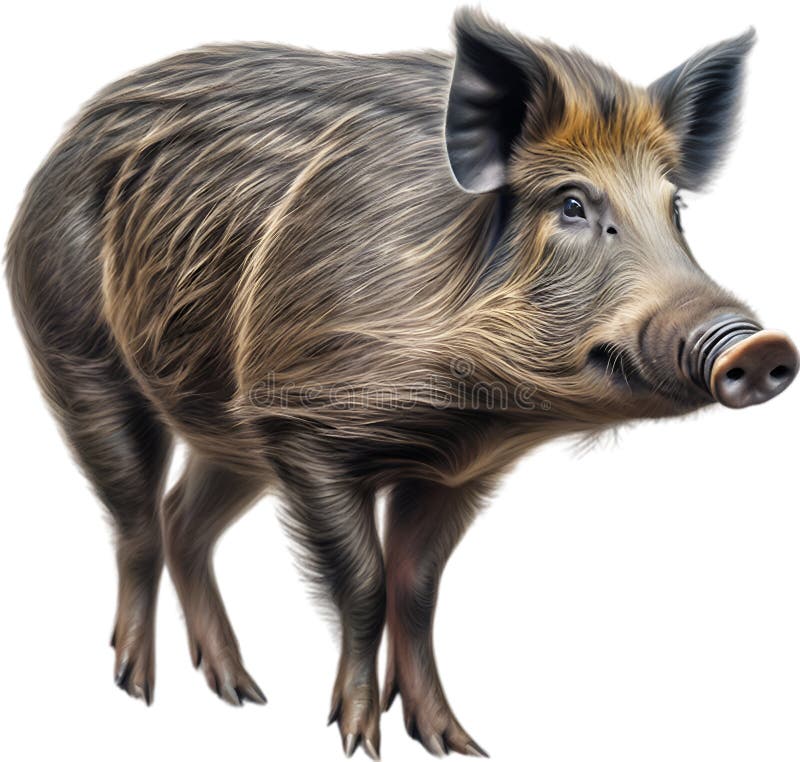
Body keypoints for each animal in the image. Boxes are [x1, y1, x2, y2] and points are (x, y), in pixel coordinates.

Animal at [5, 7, 798, 759]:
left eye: (676, 208)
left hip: (229, 431)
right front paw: (359, 740)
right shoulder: (303, 427)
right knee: (136, 522)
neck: (468, 413)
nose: (759, 343)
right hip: (78, 357)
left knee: (182, 521)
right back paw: (137, 688)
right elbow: (365, 586)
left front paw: (456, 743)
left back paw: (241, 693)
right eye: (573, 203)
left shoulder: (451, 471)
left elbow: (417, 591)